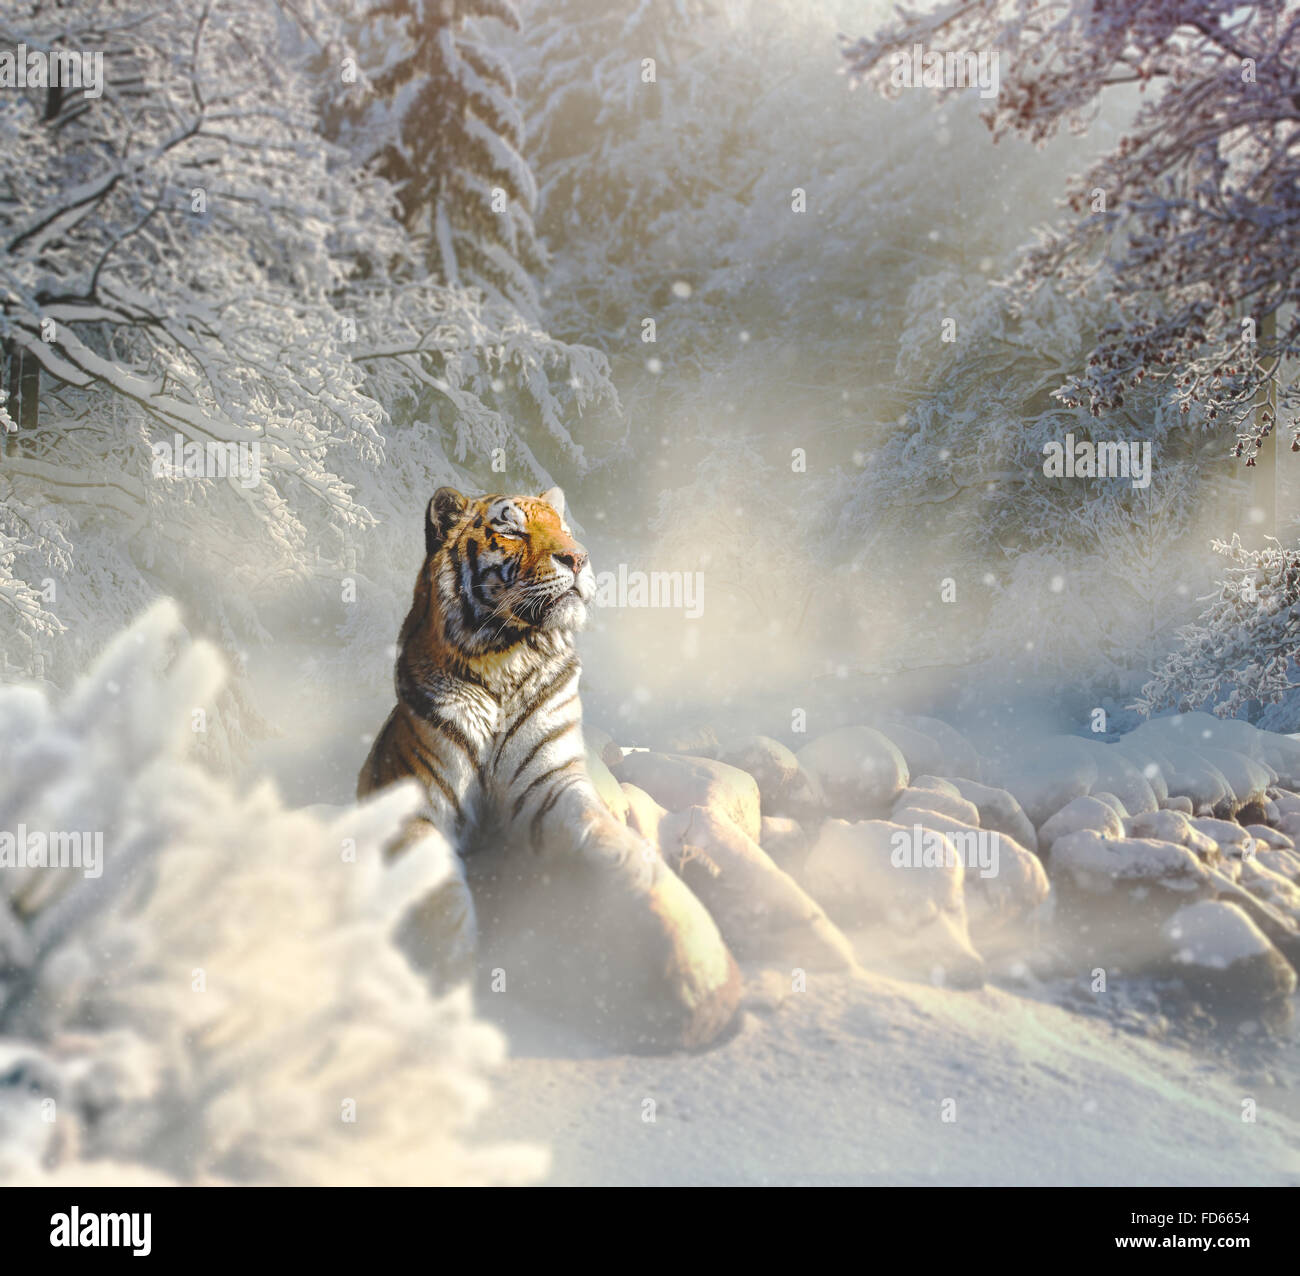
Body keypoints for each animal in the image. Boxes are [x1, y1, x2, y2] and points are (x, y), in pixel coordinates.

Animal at [358, 485, 740, 1051]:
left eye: (564, 527)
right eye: (512, 529)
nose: (577, 557)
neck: (504, 658)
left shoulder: (550, 786)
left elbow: (608, 839)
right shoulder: (417, 805)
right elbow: (439, 898)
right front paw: (446, 981)